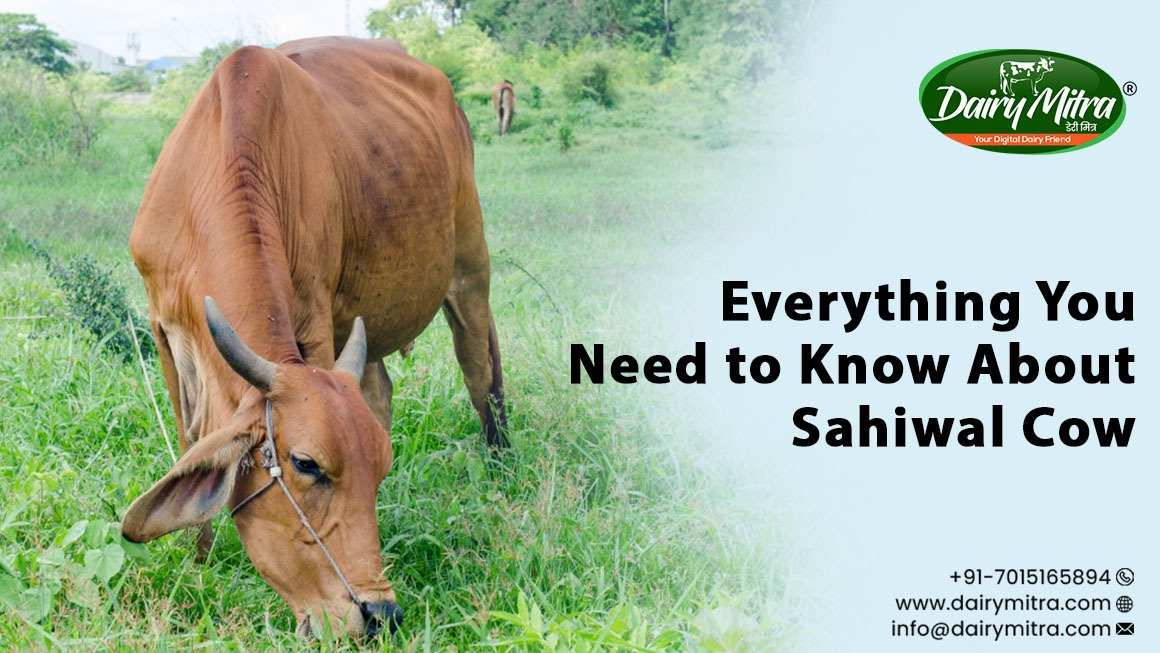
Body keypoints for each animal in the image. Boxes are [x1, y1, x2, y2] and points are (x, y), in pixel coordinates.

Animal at [122, 37, 508, 639]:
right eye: (306, 465)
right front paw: (198, 562)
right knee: (382, 389)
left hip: (469, 267)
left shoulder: (316, 319)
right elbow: (191, 441)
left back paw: (499, 468)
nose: (379, 615)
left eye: (381, 470)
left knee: (480, 372)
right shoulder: (164, 329)